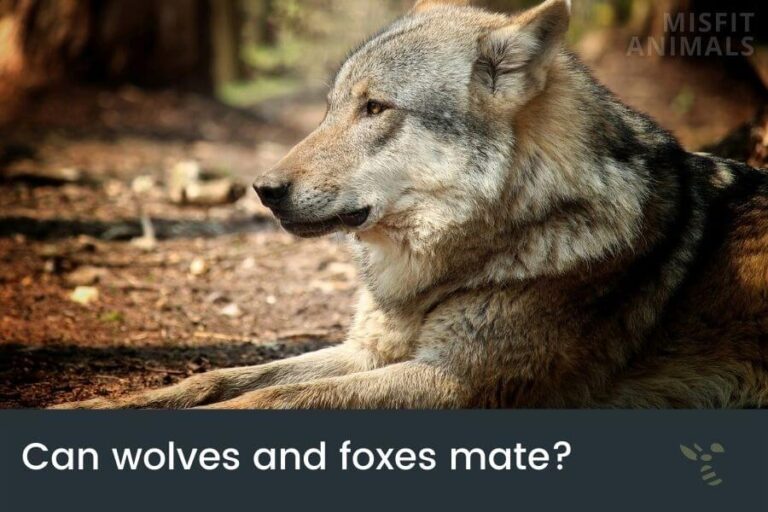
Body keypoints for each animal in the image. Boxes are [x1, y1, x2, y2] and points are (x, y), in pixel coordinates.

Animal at [57, 0, 768, 409]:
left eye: (376, 108)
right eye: (332, 108)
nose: (263, 189)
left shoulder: (456, 381)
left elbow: (266, 403)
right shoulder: (366, 352)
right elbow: (214, 381)